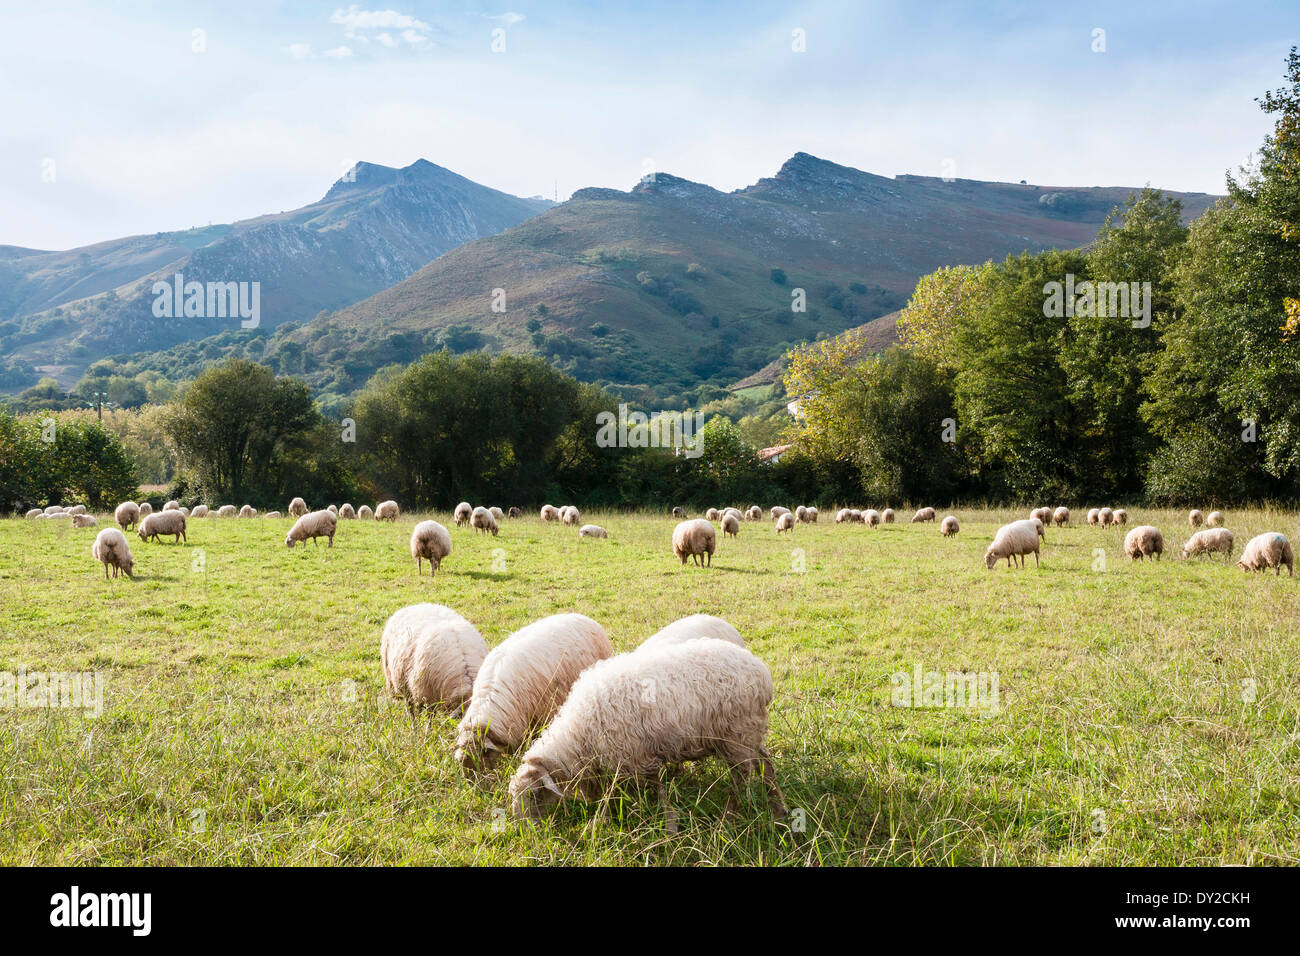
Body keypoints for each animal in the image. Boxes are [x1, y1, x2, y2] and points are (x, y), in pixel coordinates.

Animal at [508, 638, 784, 830]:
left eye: (533, 795)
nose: (527, 831)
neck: (579, 736)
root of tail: (762, 673)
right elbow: (616, 793)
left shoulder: (634, 756)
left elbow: (648, 790)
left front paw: (666, 825)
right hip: (750, 733)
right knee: (766, 765)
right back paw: (777, 808)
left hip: (737, 736)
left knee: (741, 778)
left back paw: (728, 817)